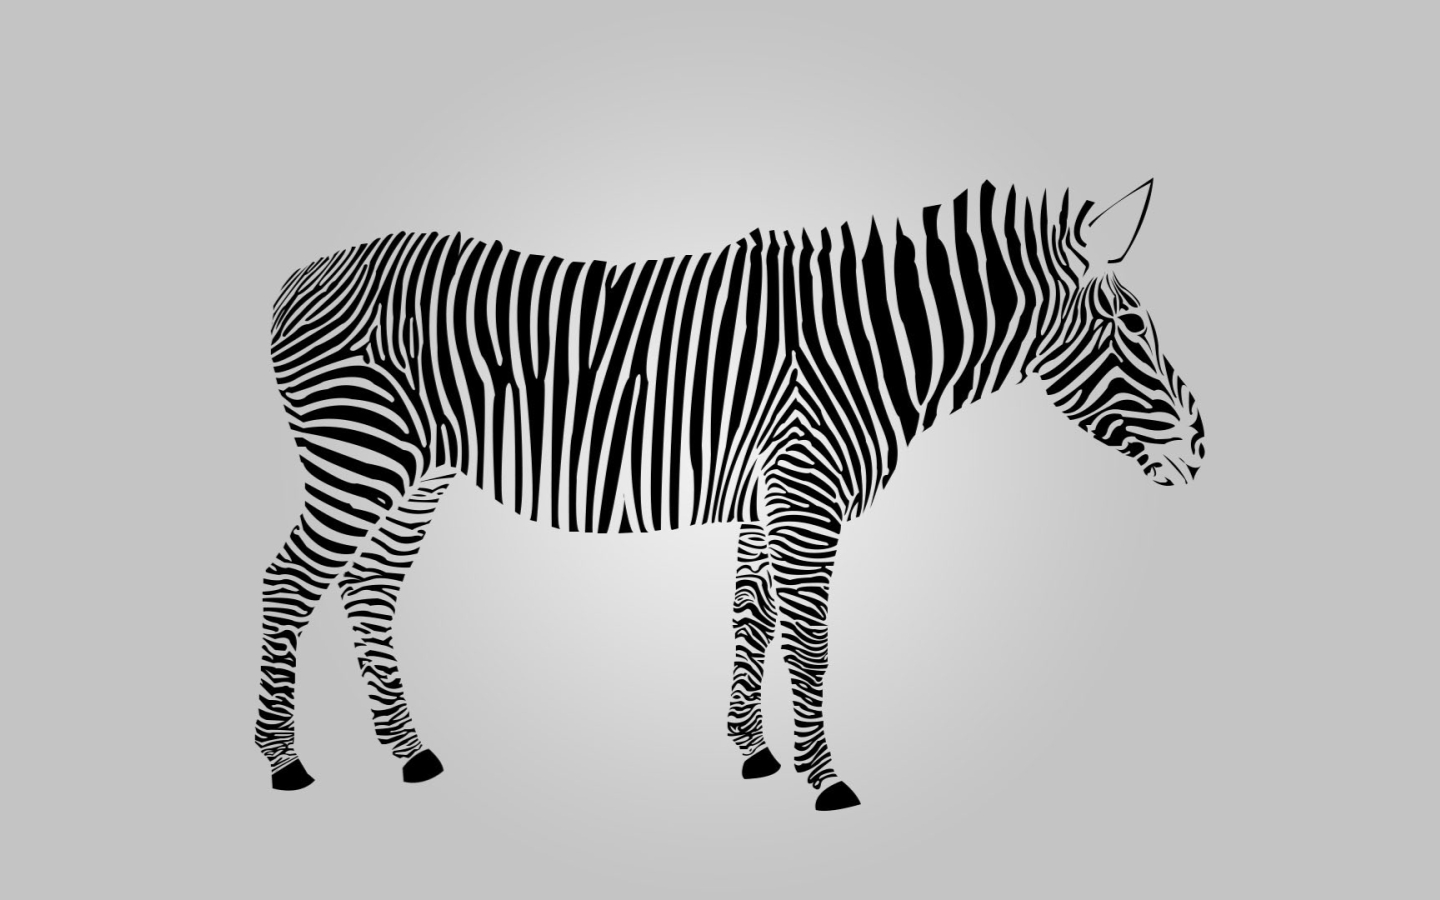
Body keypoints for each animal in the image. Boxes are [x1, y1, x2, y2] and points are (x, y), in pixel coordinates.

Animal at [257, 179, 1204, 811]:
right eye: (1132, 324)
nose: (1201, 449)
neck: (866, 347)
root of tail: (299, 275)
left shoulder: (766, 502)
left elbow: (753, 619)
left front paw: (754, 751)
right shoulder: (805, 494)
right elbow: (812, 644)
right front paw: (826, 778)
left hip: (416, 471)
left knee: (369, 591)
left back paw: (408, 752)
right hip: (358, 454)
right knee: (288, 584)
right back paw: (282, 762)